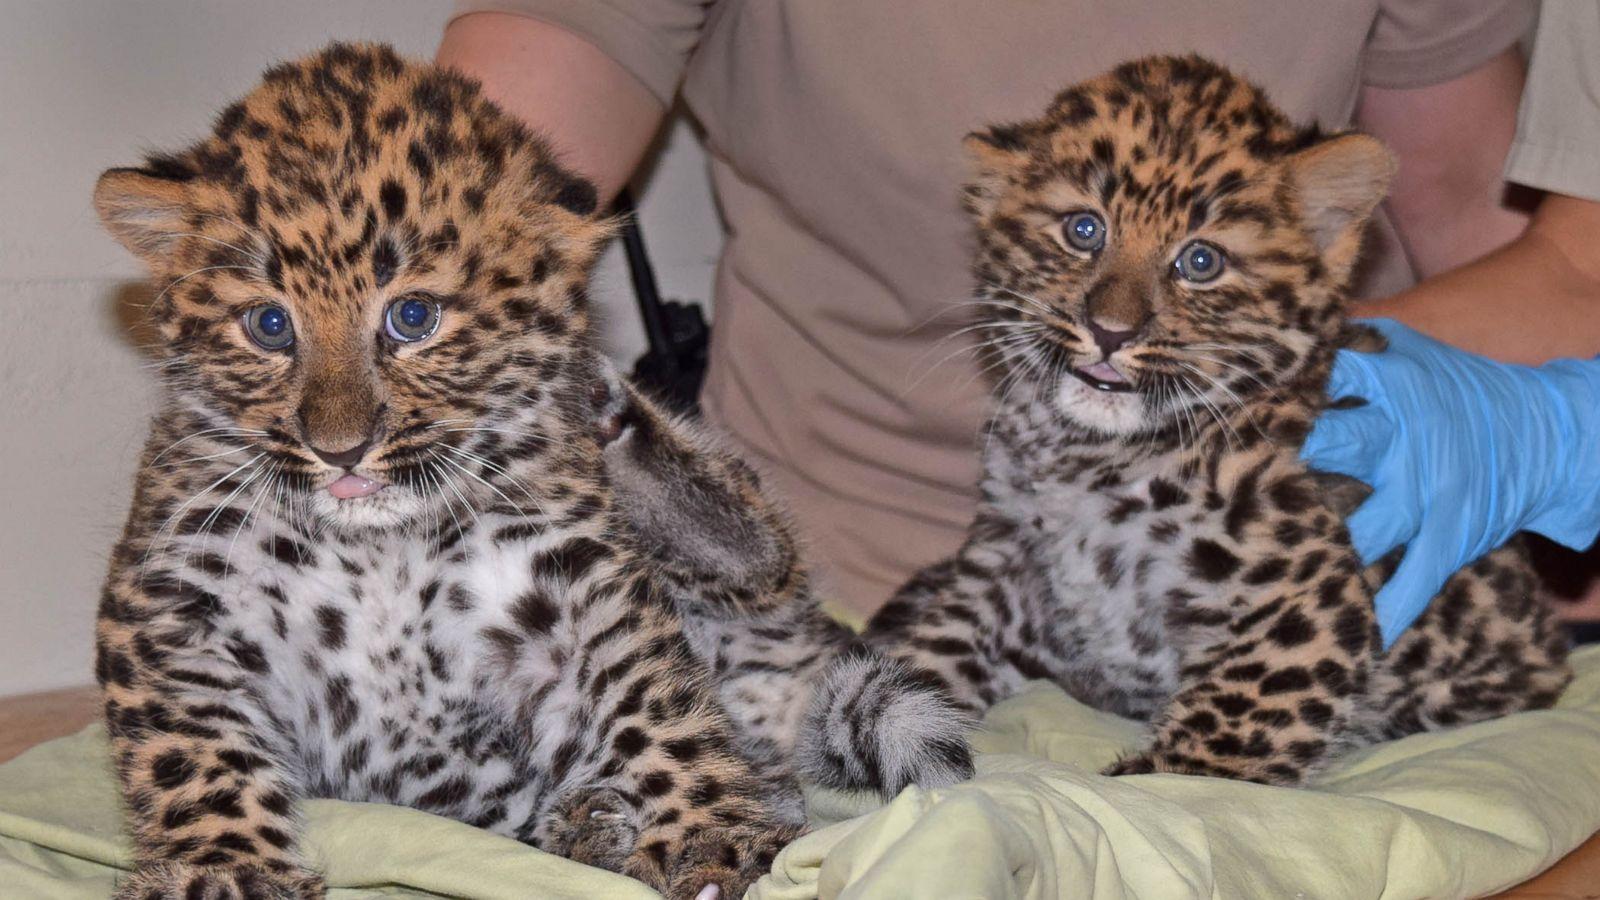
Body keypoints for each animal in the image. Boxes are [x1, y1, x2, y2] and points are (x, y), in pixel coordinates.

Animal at [91, 42, 844, 900]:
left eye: (412, 318)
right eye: (270, 325)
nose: (340, 449)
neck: (375, 547)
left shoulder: (573, 589)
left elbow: (652, 695)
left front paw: (711, 830)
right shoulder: (174, 607)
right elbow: (198, 753)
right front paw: (224, 870)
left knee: (763, 559)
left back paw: (611, 419)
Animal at [801, 54, 1571, 797]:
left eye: (1201, 262)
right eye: (1083, 230)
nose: (1110, 332)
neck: (1083, 455)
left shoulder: (1303, 597)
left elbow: (1213, 750)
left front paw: (1137, 790)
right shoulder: (1007, 562)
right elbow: (940, 644)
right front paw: (867, 713)